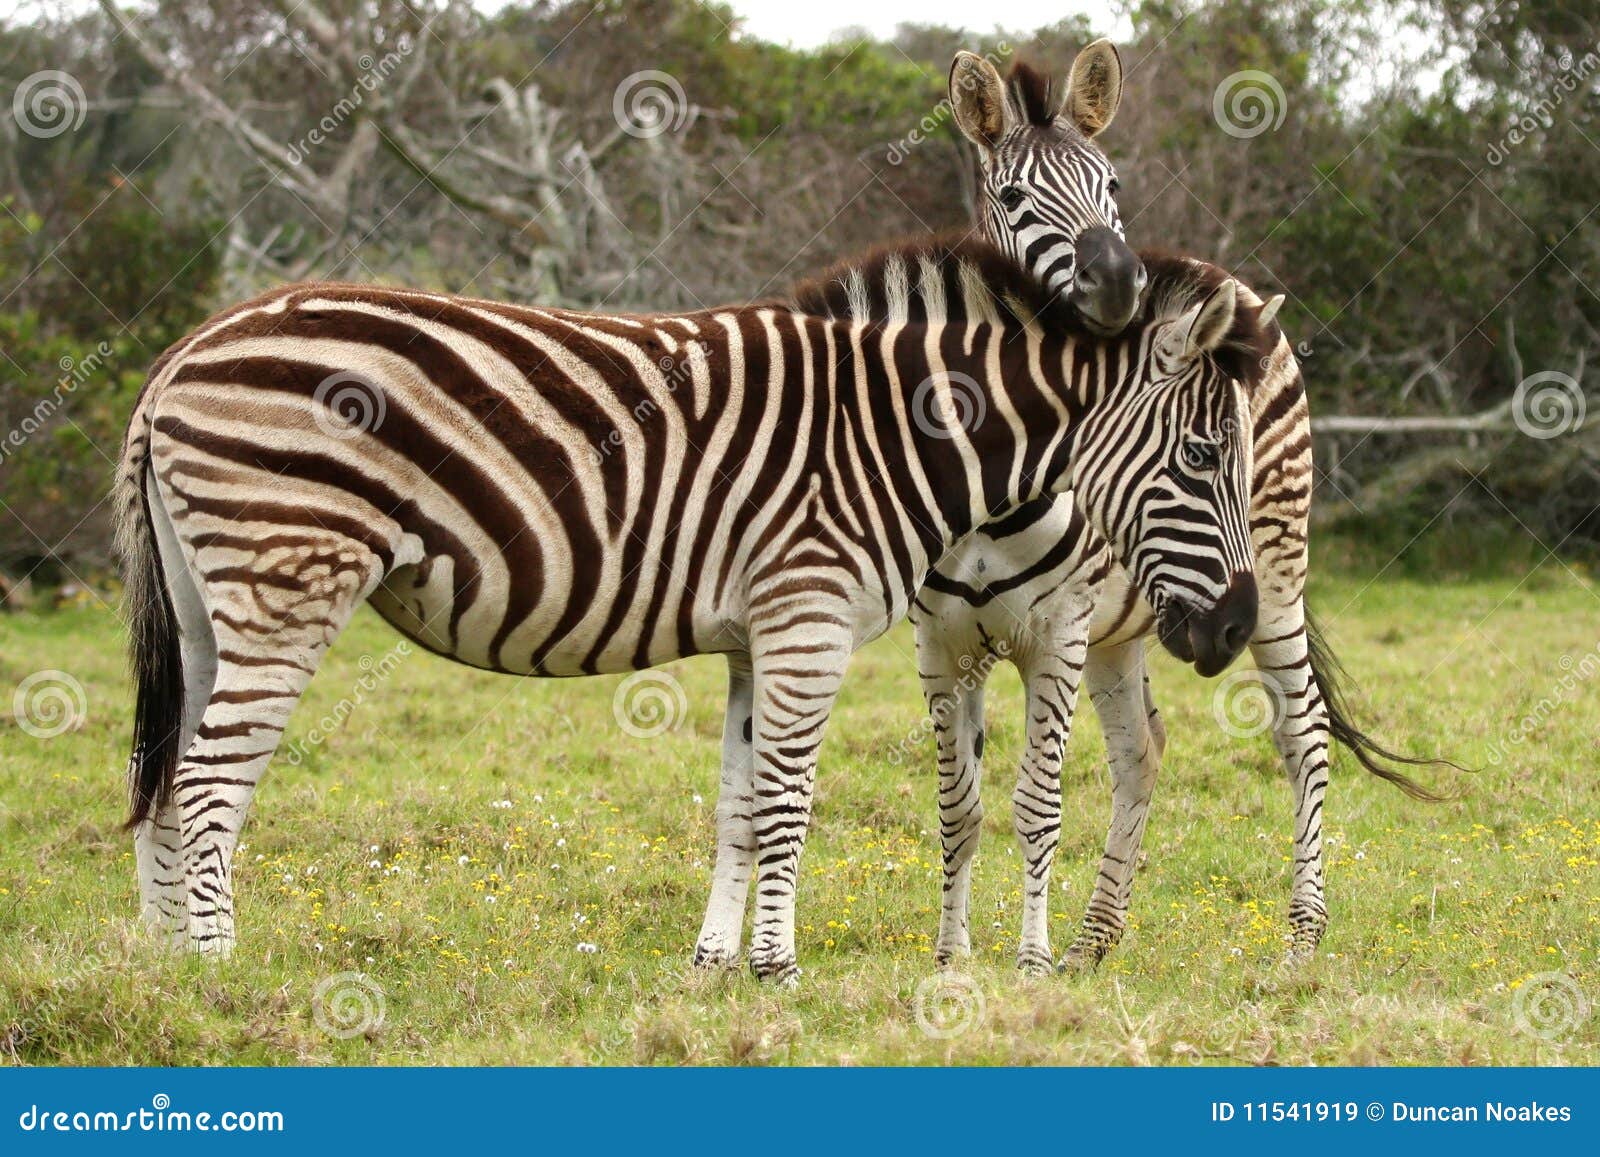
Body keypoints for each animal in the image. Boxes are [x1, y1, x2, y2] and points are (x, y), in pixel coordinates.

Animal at [115, 232, 1259, 982]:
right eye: (1205, 457)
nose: (1237, 628)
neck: (895, 431)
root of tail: (179, 355)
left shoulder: (759, 636)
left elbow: (739, 803)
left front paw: (715, 964)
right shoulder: (807, 618)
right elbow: (791, 800)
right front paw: (778, 970)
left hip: (209, 609)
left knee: (168, 779)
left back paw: (168, 971)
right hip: (285, 578)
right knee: (210, 780)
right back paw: (219, 968)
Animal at [918, 49, 1449, 973]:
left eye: (1113, 184)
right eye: (1013, 198)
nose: (1120, 283)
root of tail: (1231, 284)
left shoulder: (1057, 628)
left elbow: (1035, 800)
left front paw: (1023, 970)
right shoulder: (949, 641)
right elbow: (962, 806)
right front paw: (954, 966)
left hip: (1271, 576)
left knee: (1303, 733)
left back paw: (1301, 937)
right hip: (1129, 623)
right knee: (1143, 750)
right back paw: (1094, 941)